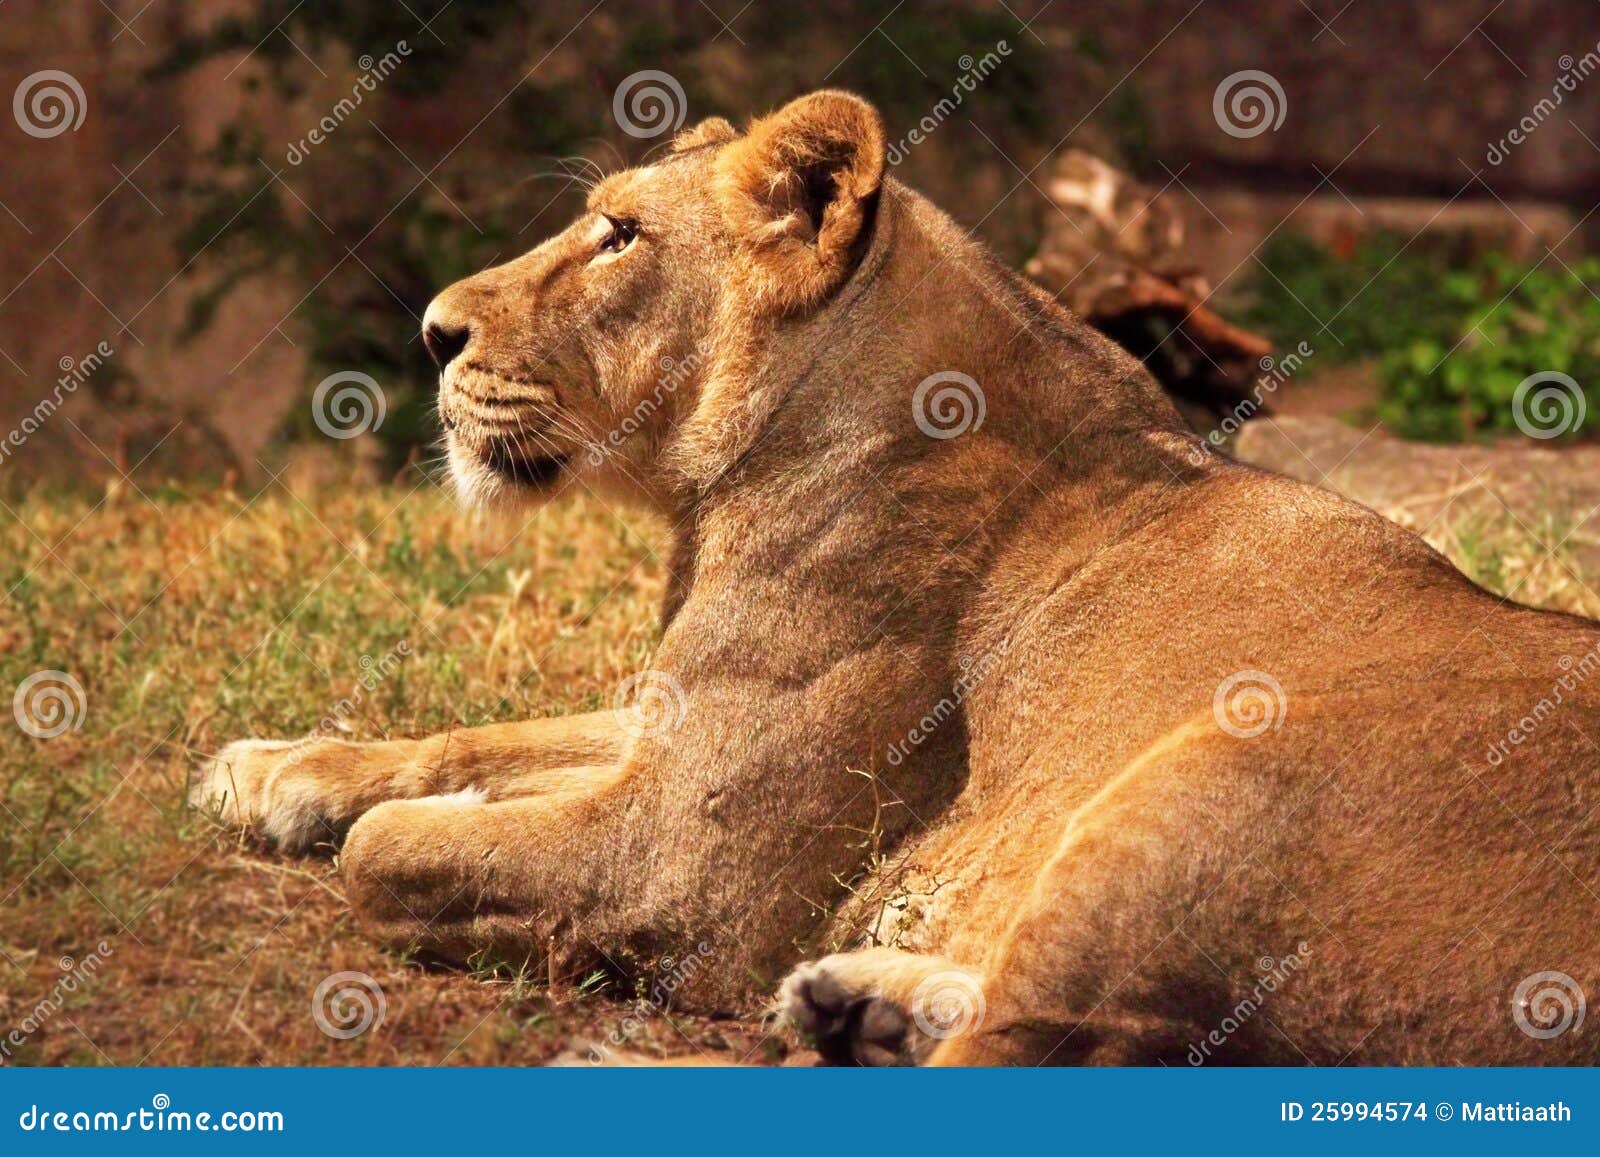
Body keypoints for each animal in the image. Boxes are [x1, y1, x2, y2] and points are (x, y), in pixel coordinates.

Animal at [194, 90, 1600, 1065]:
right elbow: (473, 739)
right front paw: (273, 767)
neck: (718, 490)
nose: (433, 330)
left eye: (618, 236)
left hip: (1215, 777)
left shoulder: (681, 862)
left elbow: (393, 848)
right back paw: (856, 1003)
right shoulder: (661, 721)